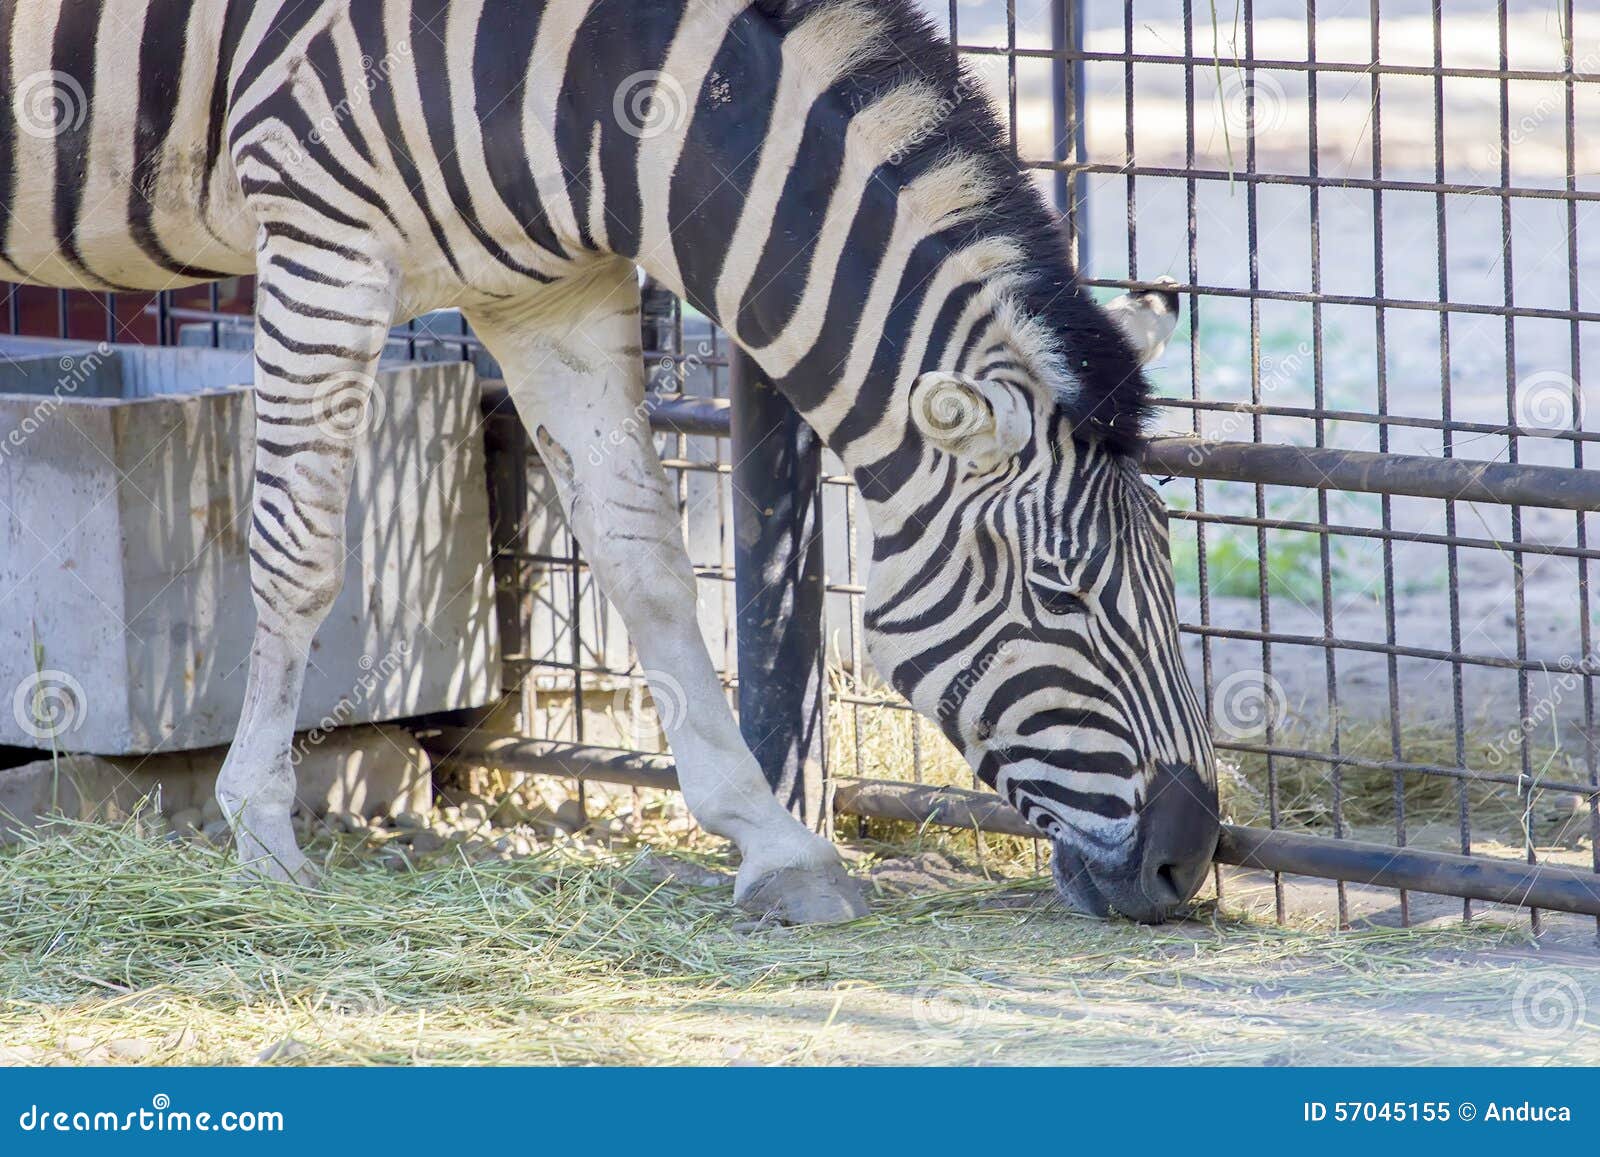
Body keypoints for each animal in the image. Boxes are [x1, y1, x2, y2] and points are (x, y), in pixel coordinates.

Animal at [1, 0, 1218, 924]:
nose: (1190, 855)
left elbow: (649, 565)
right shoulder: (320, 236)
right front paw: (260, 829)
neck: (592, 83)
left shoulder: (550, 291)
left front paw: (776, 843)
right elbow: (298, 555)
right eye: (1061, 594)